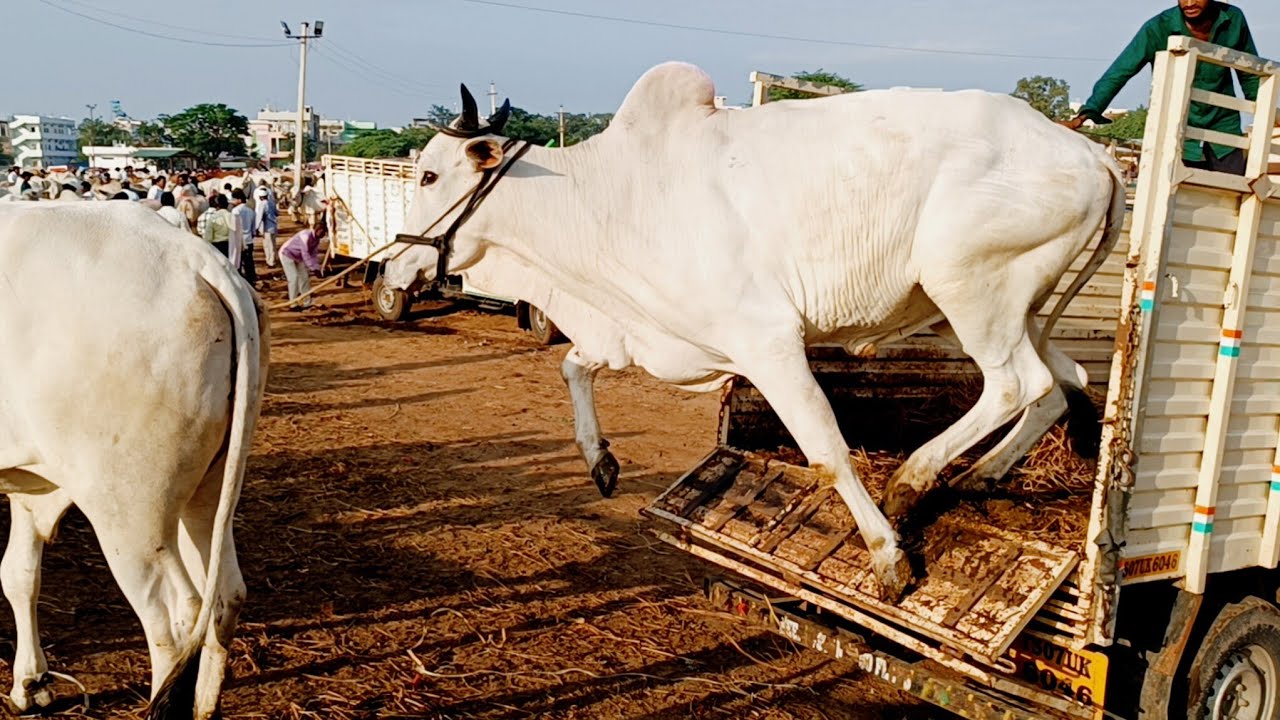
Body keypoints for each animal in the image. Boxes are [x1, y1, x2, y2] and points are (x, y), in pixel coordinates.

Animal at [0, 202, 268, 718]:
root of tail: (199, 261)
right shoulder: (30, 484)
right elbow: (18, 575)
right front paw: (30, 683)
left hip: (128, 510)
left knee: (175, 615)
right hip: (209, 490)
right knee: (225, 594)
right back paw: (205, 705)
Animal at [383, 66, 1124, 601]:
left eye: (429, 174)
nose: (390, 266)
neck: (608, 201)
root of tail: (1092, 153)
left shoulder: (767, 343)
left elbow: (826, 450)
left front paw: (887, 557)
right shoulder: (654, 337)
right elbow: (574, 366)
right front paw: (600, 462)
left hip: (969, 287)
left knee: (1016, 384)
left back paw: (912, 479)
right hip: (997, 310)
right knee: (1063, 381)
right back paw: (983, 473)